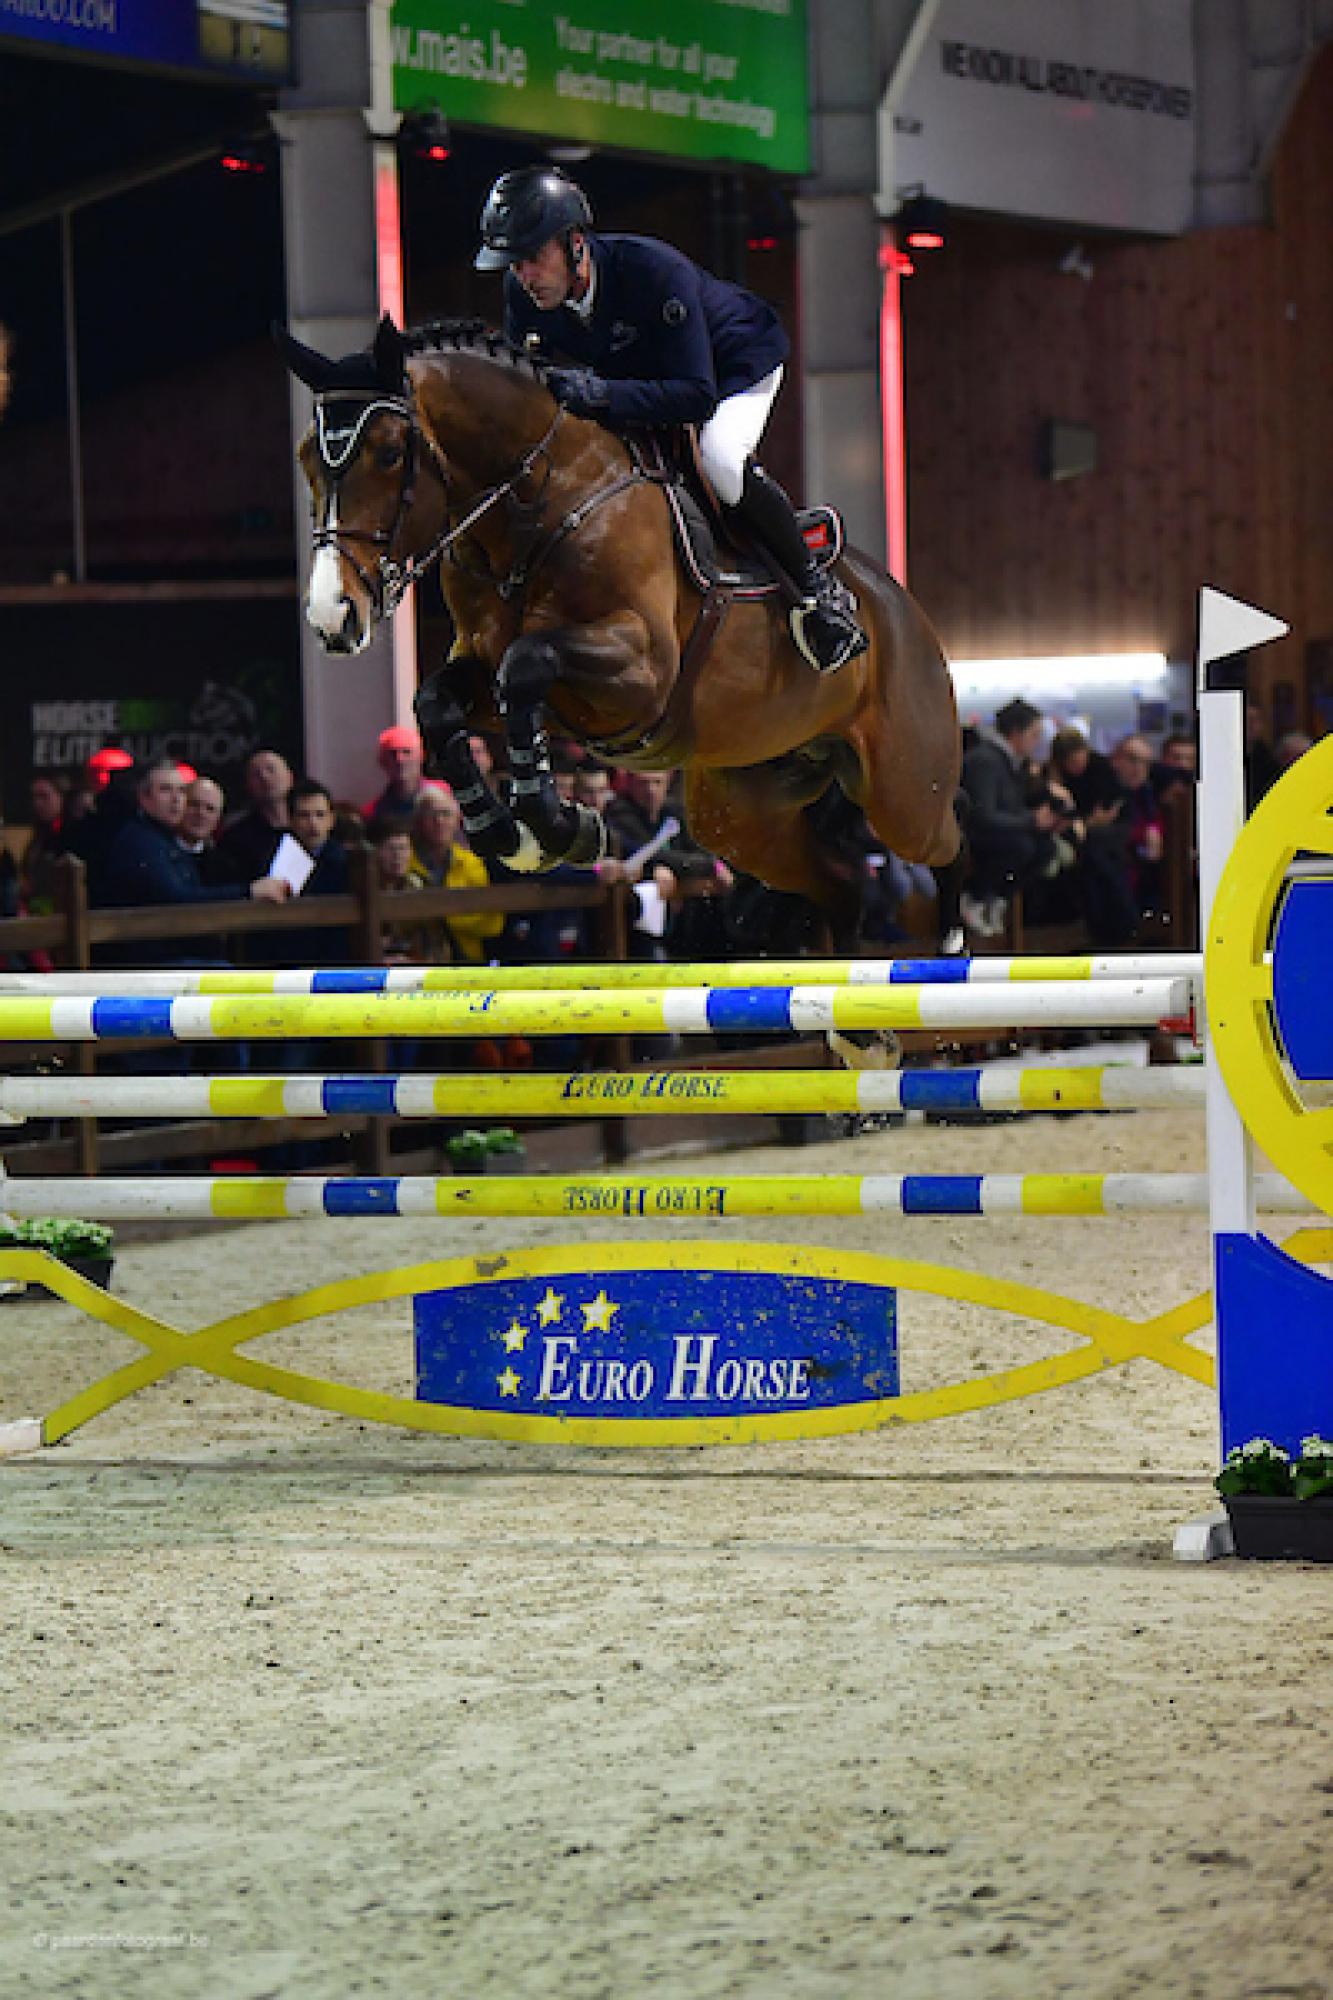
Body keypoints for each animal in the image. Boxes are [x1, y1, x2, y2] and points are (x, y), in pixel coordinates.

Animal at [279, 314, 964, 952]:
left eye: (390, 453)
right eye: (307, 456)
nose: (331, 615)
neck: (540, 501)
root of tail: (902, 605)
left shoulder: (641, 675)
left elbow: (527, 662)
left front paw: (558, 825)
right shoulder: (502, 678)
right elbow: (439, 702)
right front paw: (515, 833)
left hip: (903, 792)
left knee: (945, 843)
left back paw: (953, 934)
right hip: (741, 810)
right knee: (841, 880)